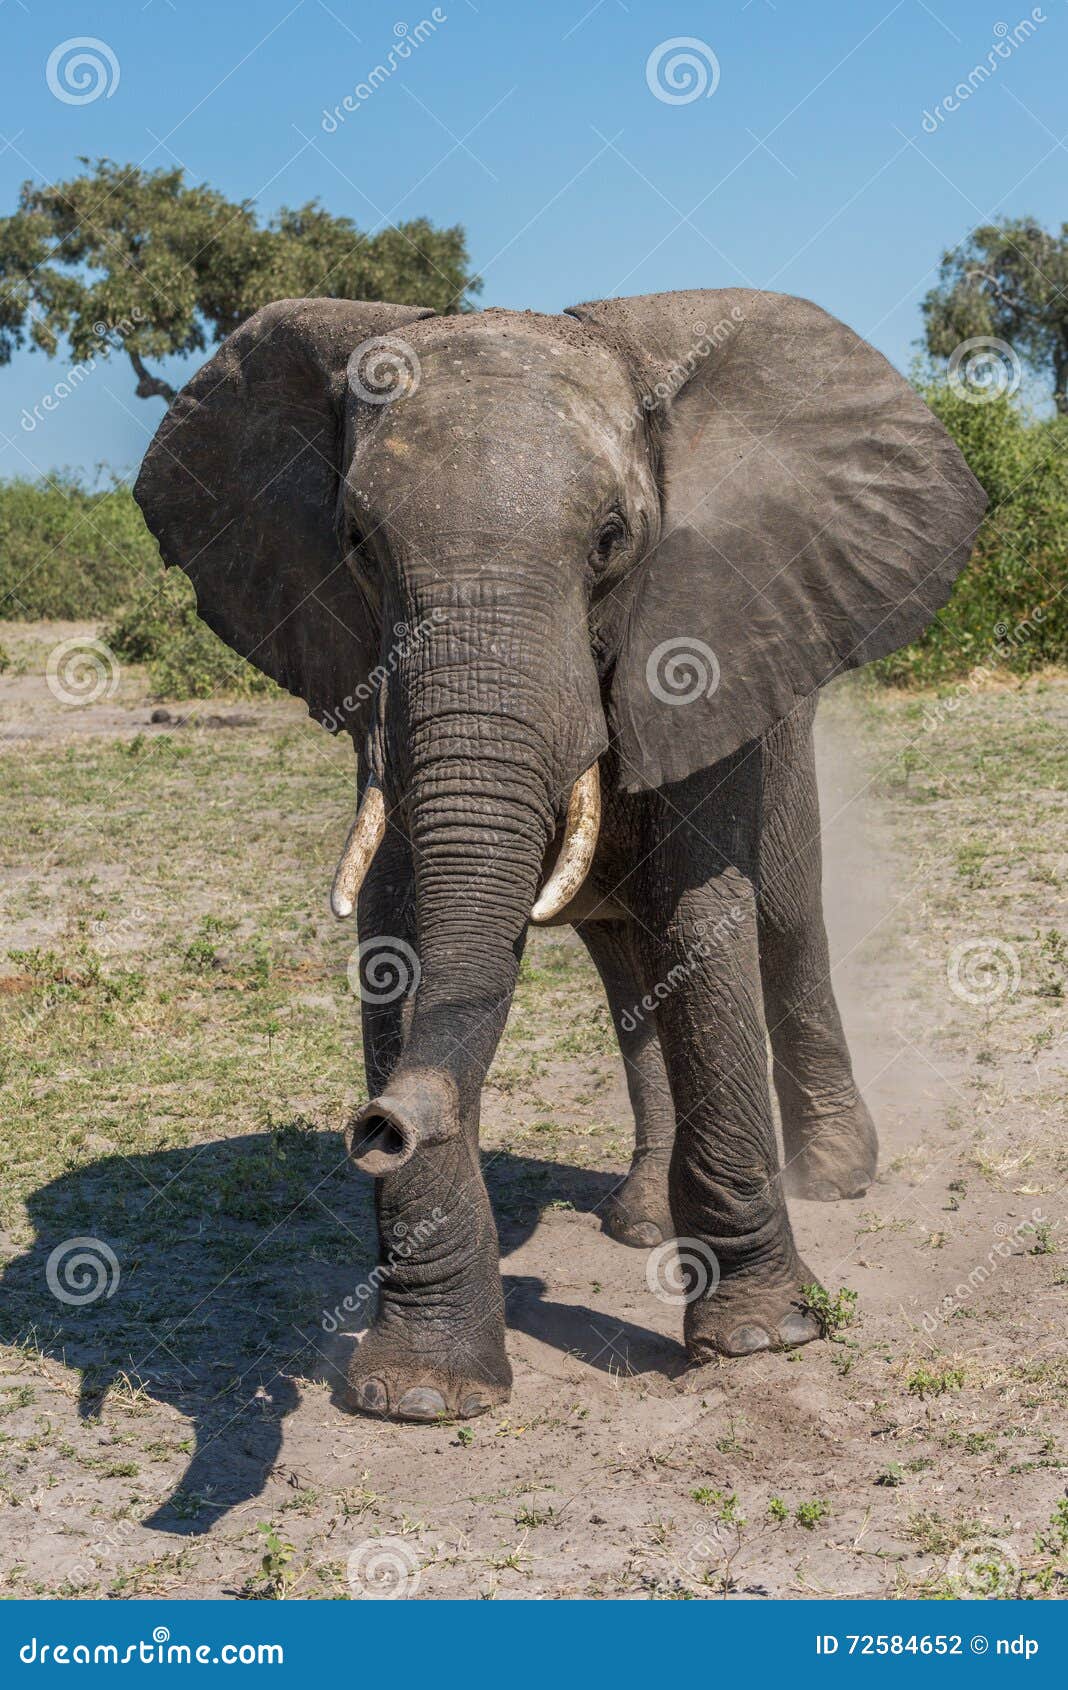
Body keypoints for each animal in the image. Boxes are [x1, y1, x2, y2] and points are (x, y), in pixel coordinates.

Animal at [133, 288, 986, 1422]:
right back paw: (639, 1219)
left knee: (785, 912)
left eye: (612, 541)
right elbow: (401, 929)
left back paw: (836, 1173)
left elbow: (705, 916)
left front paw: (763, 1338)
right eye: (356, 542)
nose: (377, 1127)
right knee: (625, 959)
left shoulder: (706, 635)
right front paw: (421, 1397)